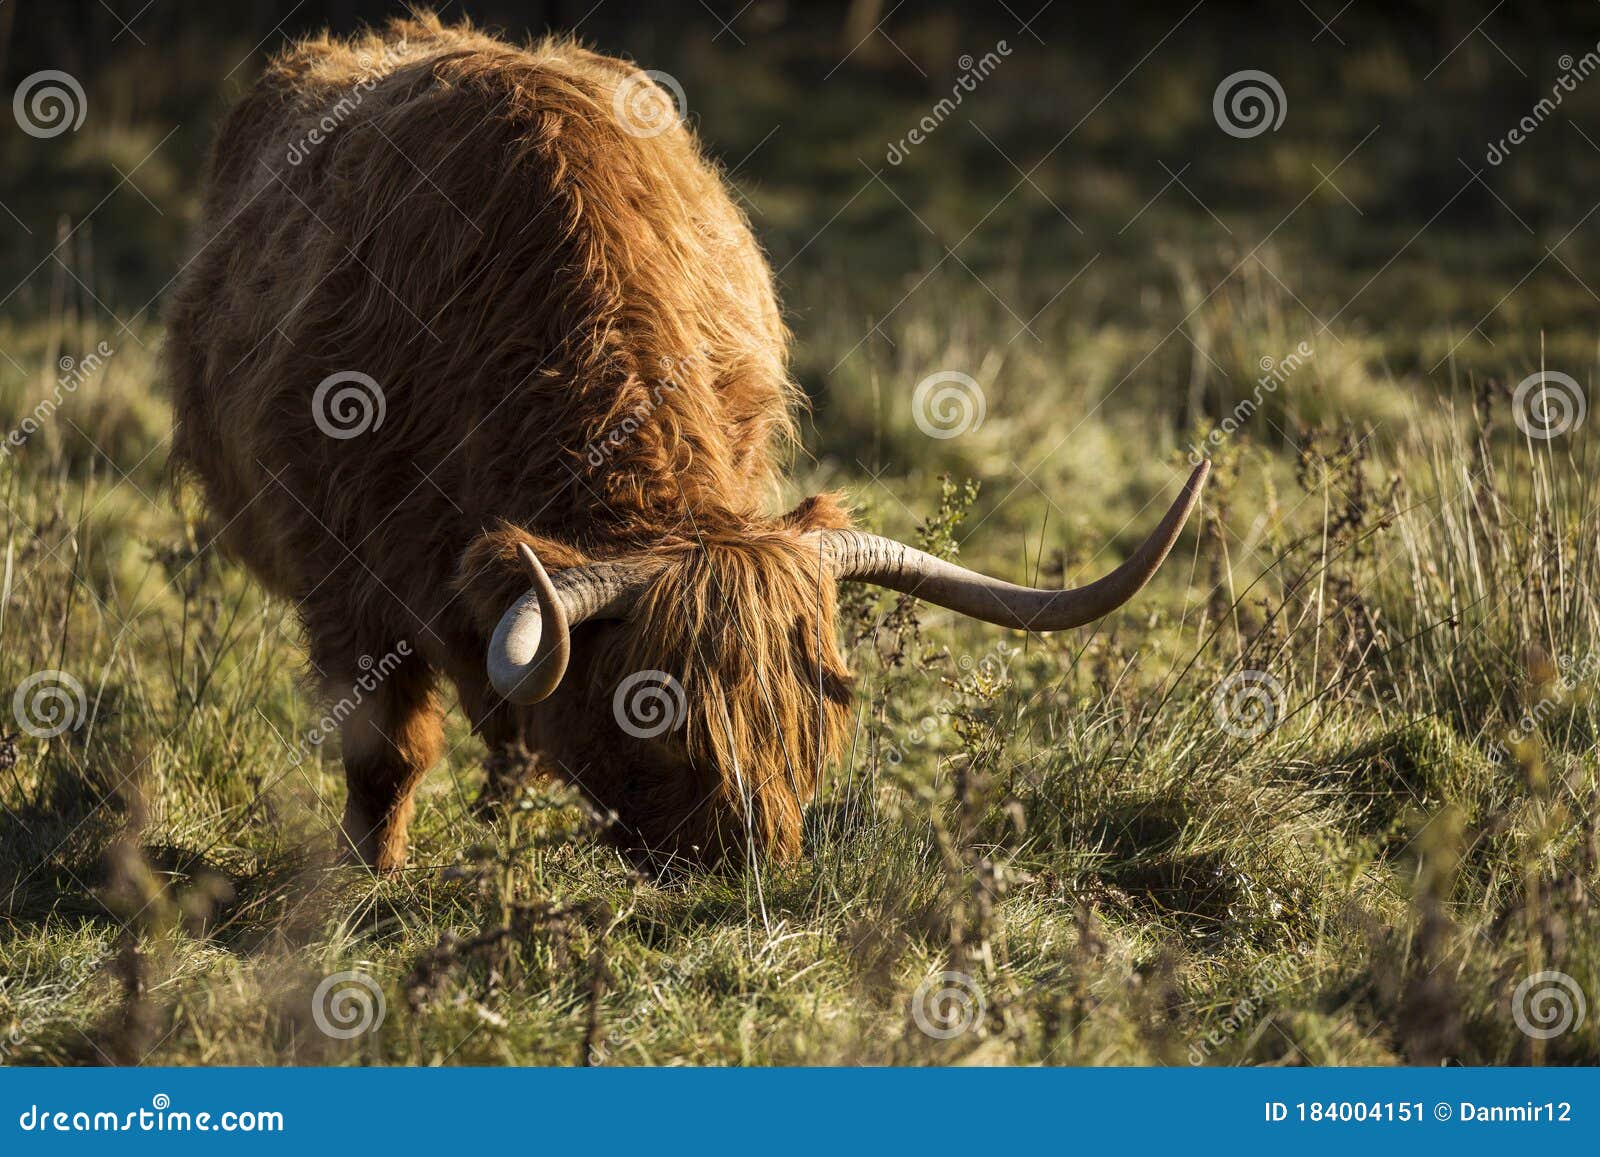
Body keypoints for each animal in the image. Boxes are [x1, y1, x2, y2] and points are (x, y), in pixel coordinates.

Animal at [166, 15, 1207, 875]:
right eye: (657, 716)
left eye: (822, 704)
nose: (753, 857)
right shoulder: (342, 579)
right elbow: (387, 750)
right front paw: (370, 876)